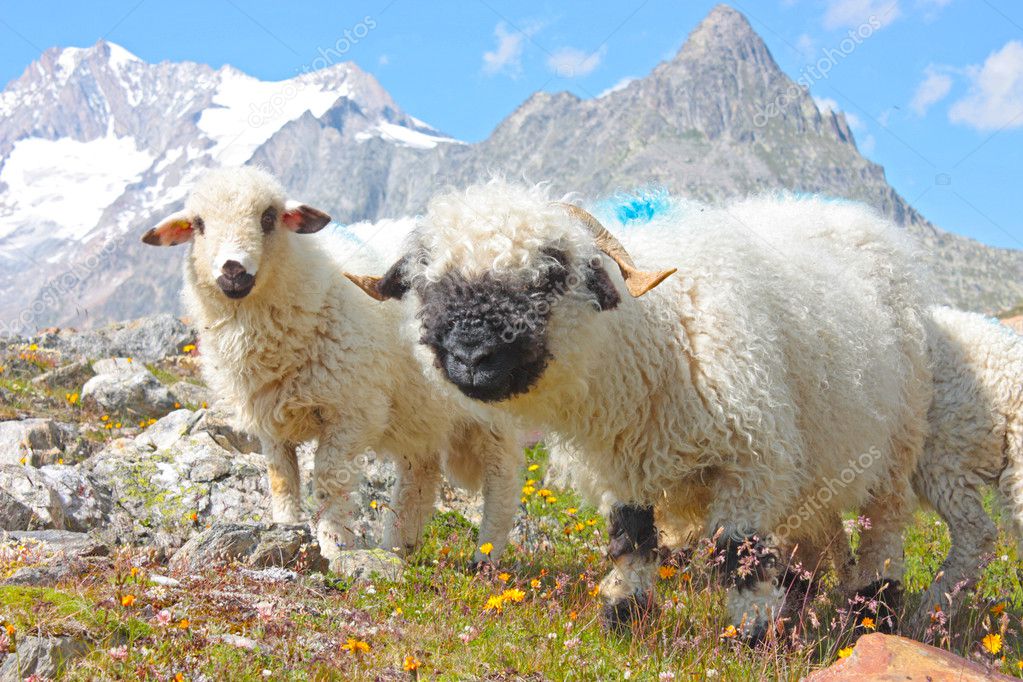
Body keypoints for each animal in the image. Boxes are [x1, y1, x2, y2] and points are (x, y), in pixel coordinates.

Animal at [140, 166, 522, 566]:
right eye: (199, 224)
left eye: (268, 217)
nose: (233, 270)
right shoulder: (268, 422)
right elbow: (282, 480)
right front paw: (284, 530)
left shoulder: (354, 411)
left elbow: (327, 478)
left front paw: (333, 545)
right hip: (421, 412)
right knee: (418, 478)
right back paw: (399, 549)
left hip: (496, 411)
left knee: (502, 481)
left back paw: (485, 556)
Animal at [345, 180, 932, 639]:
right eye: (427, 280)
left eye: (552, 274)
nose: (470, 355)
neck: (654, 336)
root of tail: (847, 212)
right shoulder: (624, 463)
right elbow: (633, 542)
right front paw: (625, 618)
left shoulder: (753, 458)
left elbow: (738, 553)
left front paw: (749, 634)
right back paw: (803, 597)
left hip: (896, 442)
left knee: (883, 528)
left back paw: (875, 612)